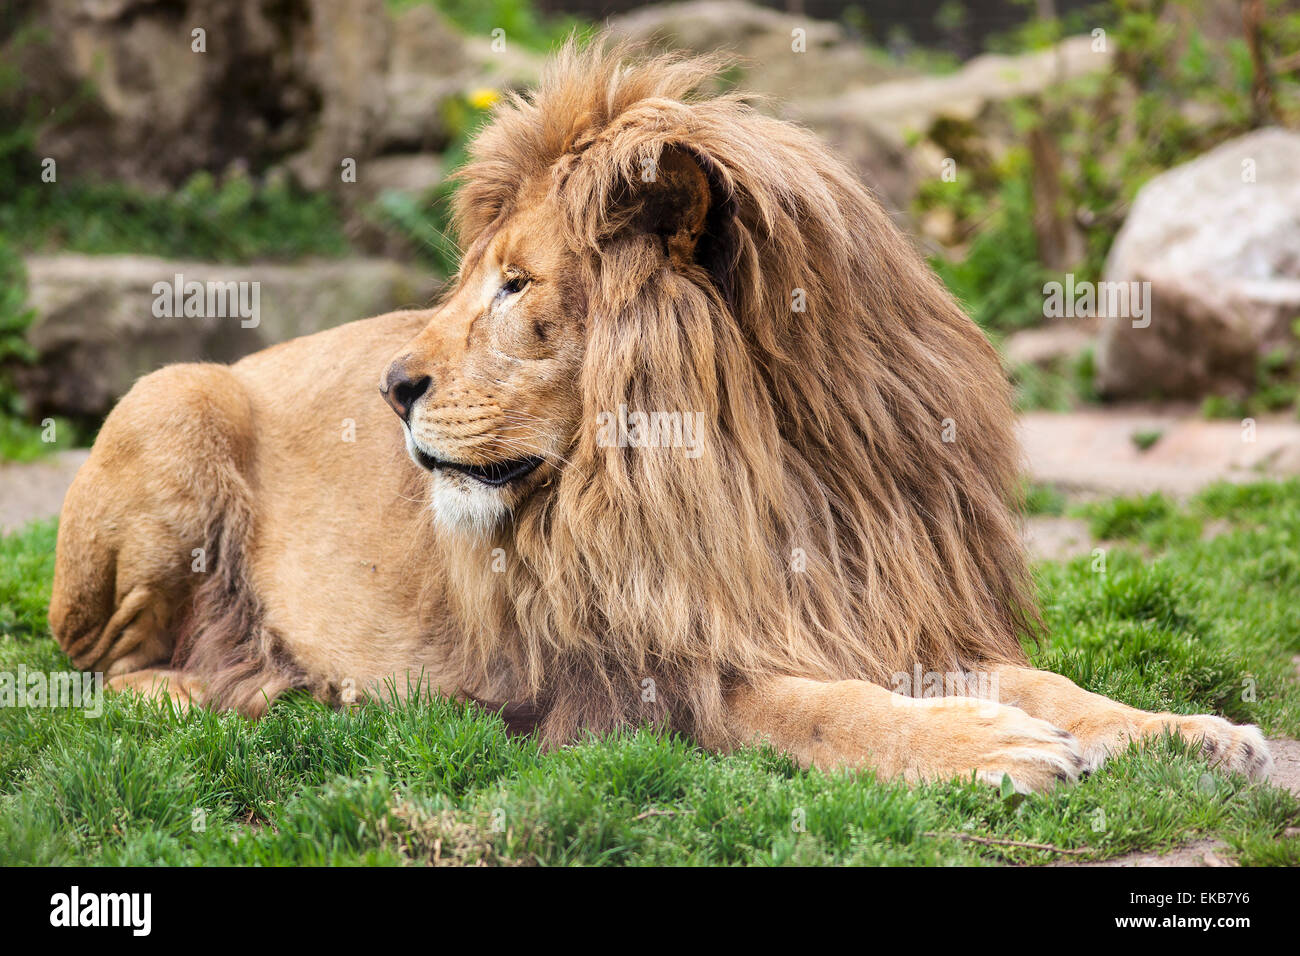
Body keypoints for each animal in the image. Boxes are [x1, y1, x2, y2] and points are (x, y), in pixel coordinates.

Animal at [50, 41, 1271, 793]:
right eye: (472, 280)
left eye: (515, 286)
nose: (389, 387)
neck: (764, 464)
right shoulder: (639, 674)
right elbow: (824, 712)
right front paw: (988, 748)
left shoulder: (879, 607)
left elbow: (1054, 685)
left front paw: (1196, 734)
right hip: (174, 397)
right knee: (101, 670)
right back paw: (230, 692)